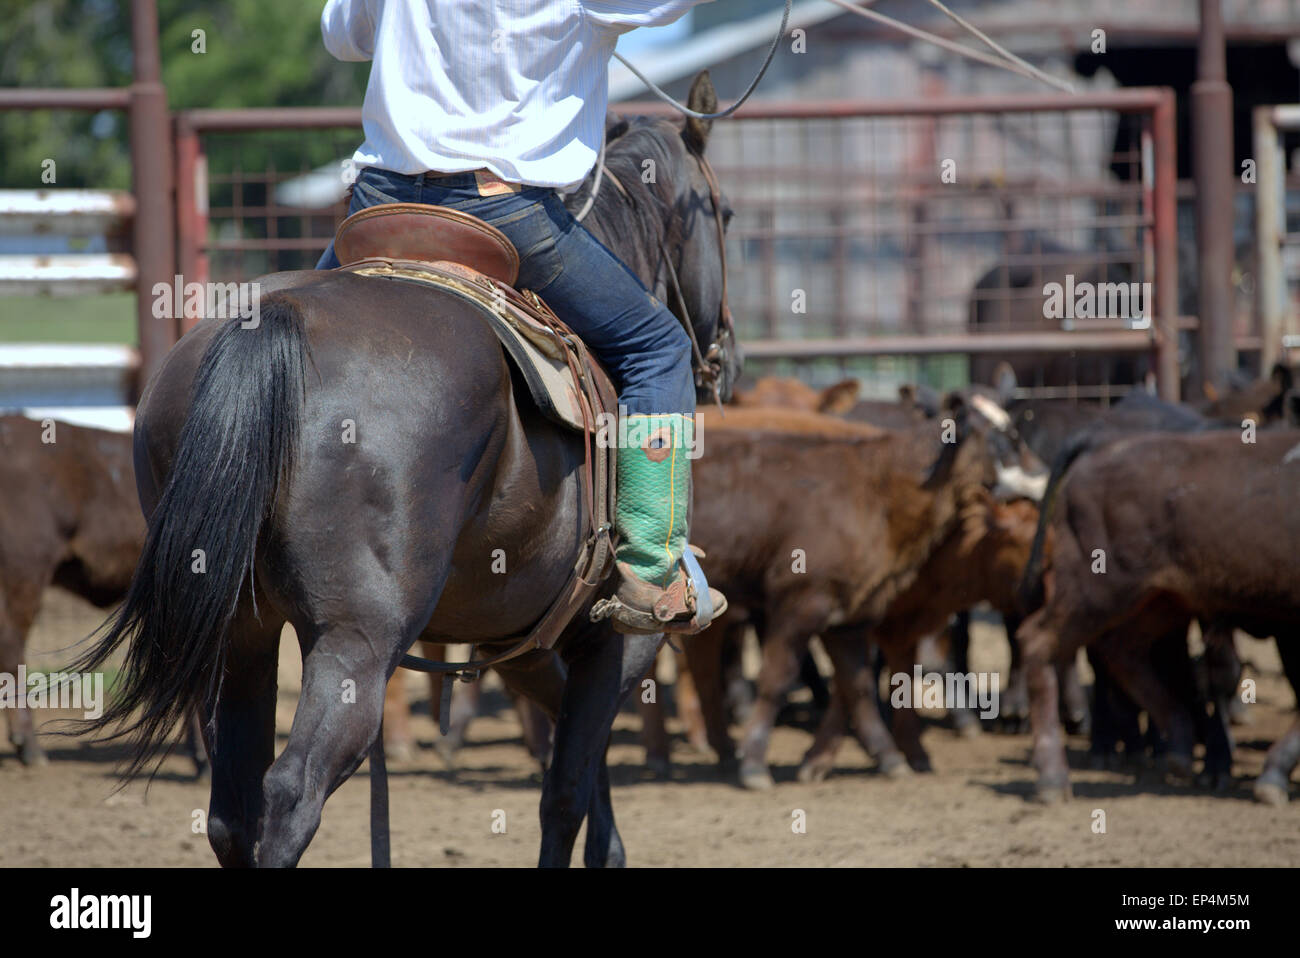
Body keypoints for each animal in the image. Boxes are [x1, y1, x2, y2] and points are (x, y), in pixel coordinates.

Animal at [73, 71, 738, 867]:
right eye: (726, 212)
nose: (726, 357)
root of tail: (275, 321)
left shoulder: (520, 642)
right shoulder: (619, 642)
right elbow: (566, 790)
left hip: (243, 630)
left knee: (233, 810)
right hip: (355, 640)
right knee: (292, 793)